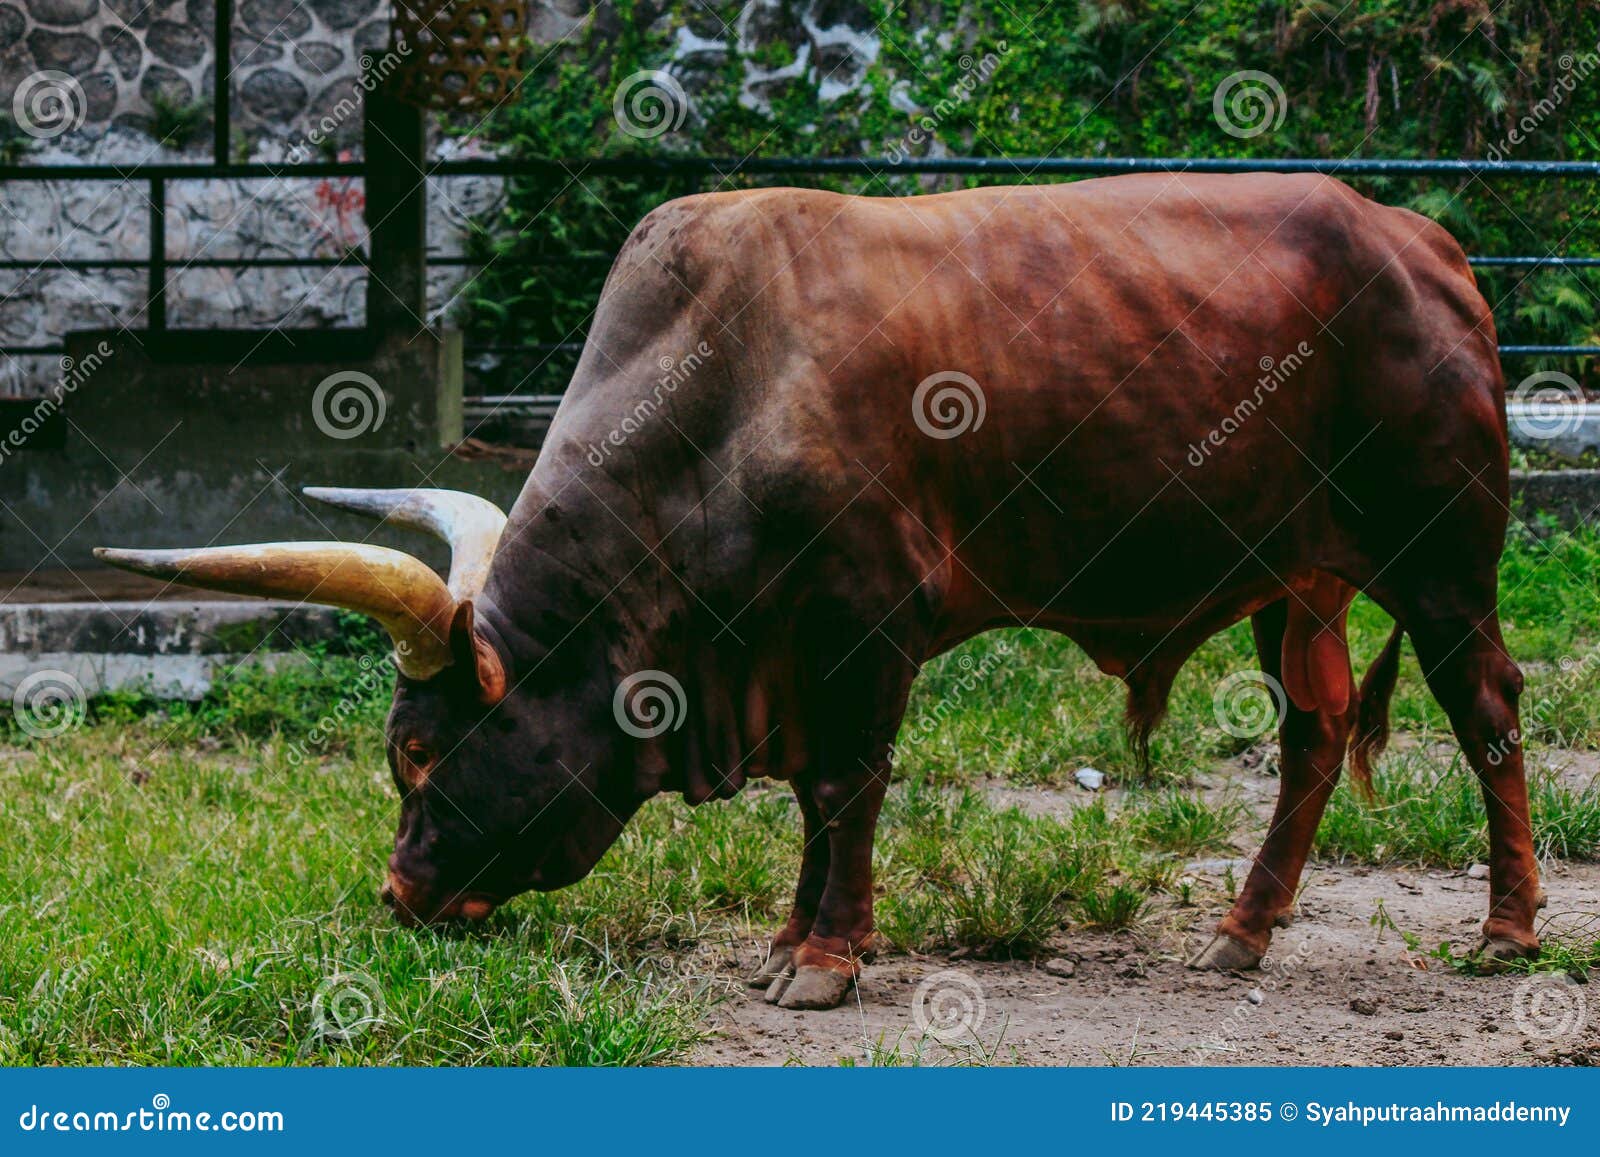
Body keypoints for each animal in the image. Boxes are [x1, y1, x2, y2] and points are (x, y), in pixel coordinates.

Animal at [98, 173, 1541, 1011]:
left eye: (414, 751)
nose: (400, 896)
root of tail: (1418, 240)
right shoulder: (787, 649)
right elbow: (810, 803)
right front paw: (789, 938)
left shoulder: (863, 624)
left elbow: (847, 789)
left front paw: (829, 957)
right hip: (1301, 577)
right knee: (1312, 733)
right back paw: (1244, 929)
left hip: (1444, 557)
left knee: (1487, 712)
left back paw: (1508, 930)